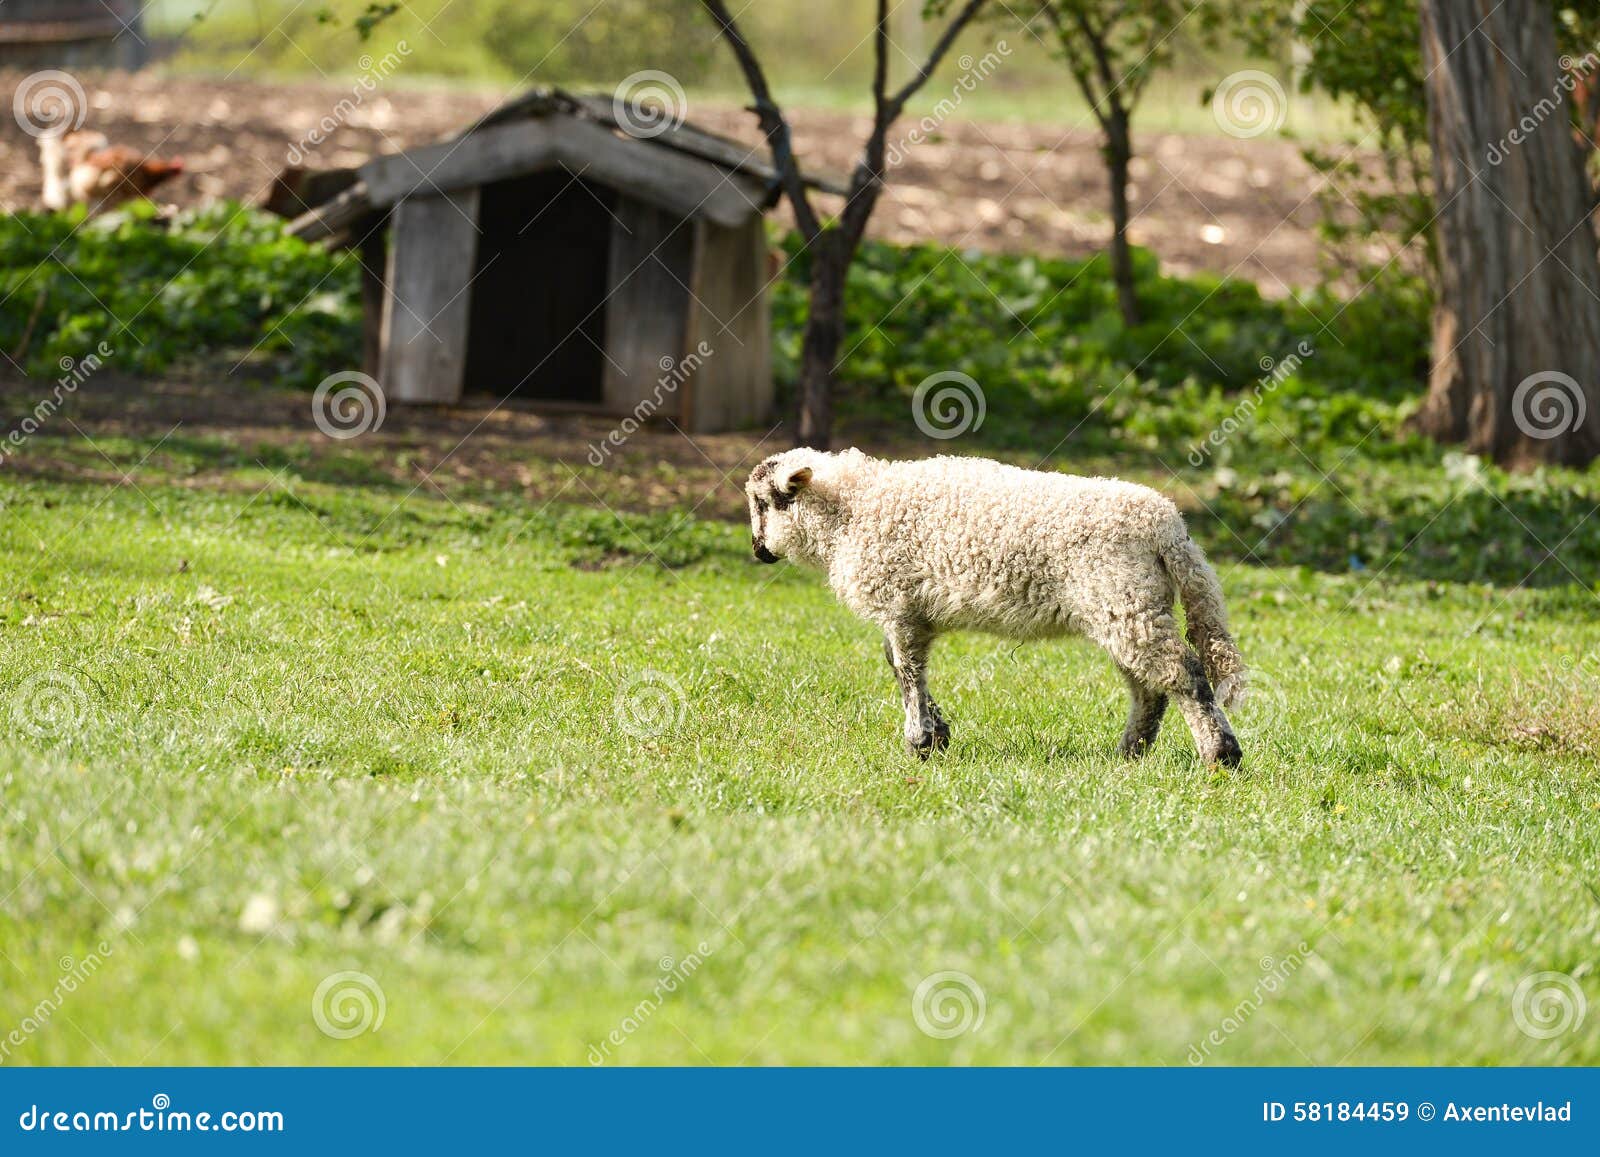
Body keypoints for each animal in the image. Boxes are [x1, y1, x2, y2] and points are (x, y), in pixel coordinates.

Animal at [745, 448, 1246, 765]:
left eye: (763, 504)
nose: (757, 551)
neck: (853, 511)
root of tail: (1168, 528)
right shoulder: (914, 614)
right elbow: (902, 665)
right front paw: (938, 733)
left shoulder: (899, 604)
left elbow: (905, 671)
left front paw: (919, 743)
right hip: (1129, 607)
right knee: (1150, 688)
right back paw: (1129, 754)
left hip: (1126, 602)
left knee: (1183, 673)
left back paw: (1221, 756)